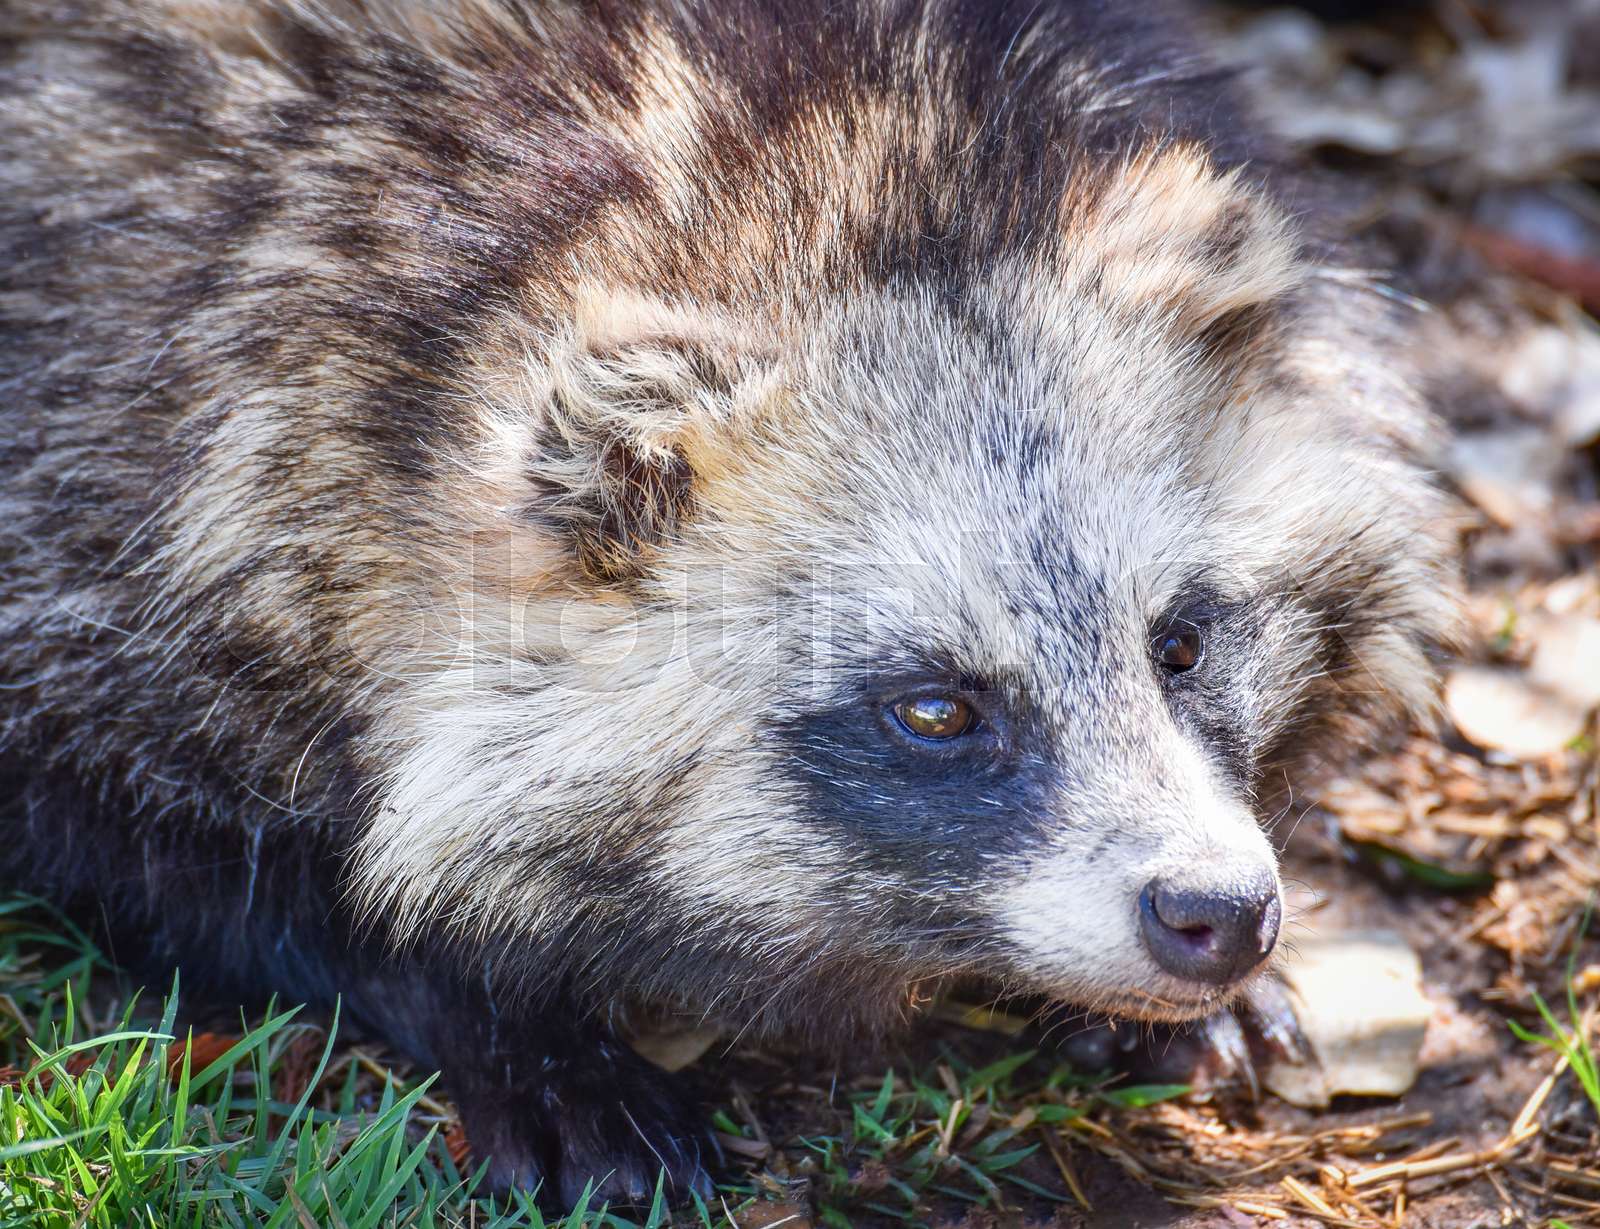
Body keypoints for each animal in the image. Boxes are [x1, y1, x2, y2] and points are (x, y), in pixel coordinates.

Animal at [0, 0, 1457, 1205]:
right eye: (936, 709)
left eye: (1182, 644)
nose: (1219, 911)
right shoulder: (114, 462)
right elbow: (140, 830)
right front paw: (494, 1006)